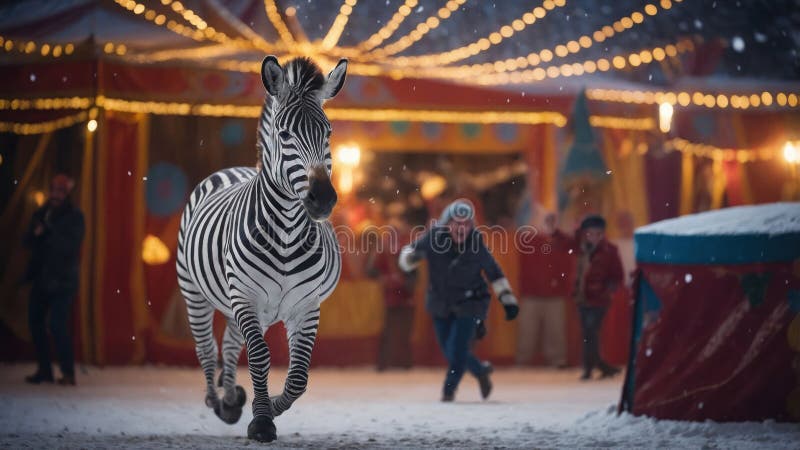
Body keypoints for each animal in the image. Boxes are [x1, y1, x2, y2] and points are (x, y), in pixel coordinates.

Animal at [176, 56, 347, 442]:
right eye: (285, 135)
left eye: (328, 132)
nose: (322, 198)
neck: (285, 233)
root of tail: (239, 169)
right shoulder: (246, 297)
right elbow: (259, 357)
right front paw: (262, 420)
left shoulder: (306, 307)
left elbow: (298, 376)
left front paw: (271, 407)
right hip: (196, 293)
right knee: (208, 347)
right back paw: (218, 402)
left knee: (228, 344)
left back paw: (231, 399)